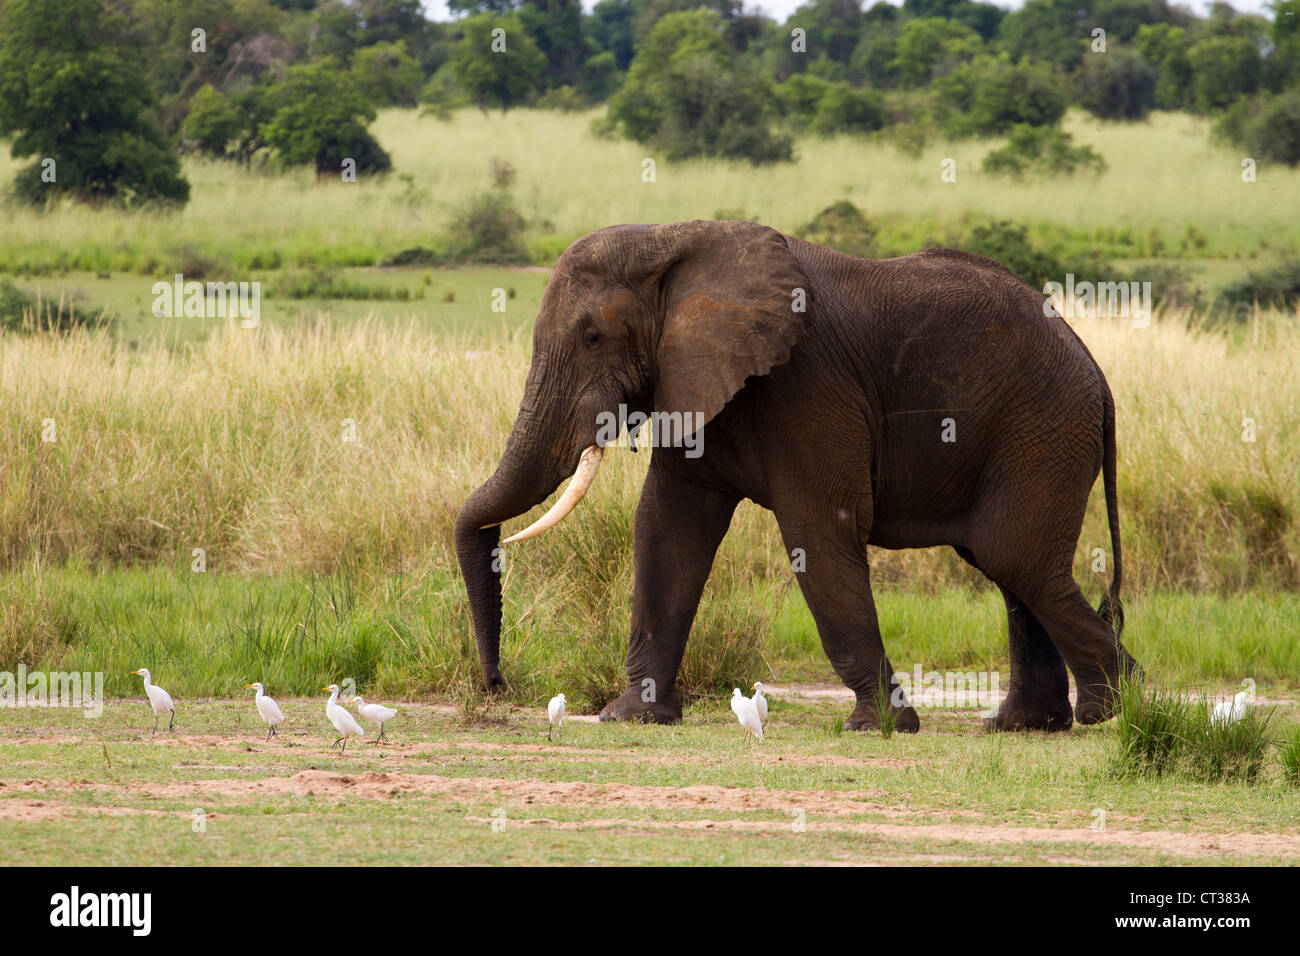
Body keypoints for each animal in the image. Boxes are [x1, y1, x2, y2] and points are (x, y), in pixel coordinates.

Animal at [455, 219, 1139, 733]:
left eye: (593, 337)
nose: (496, 684)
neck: (671, 237)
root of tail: (1098, 375)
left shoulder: (808, 386)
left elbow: (820, 532)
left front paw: (875, 728)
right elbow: (667, 529)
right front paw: (632, 718)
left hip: (1043, 427)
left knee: (1014, 558)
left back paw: (1115, 709)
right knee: (1009, 568)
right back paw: (1027, 725)